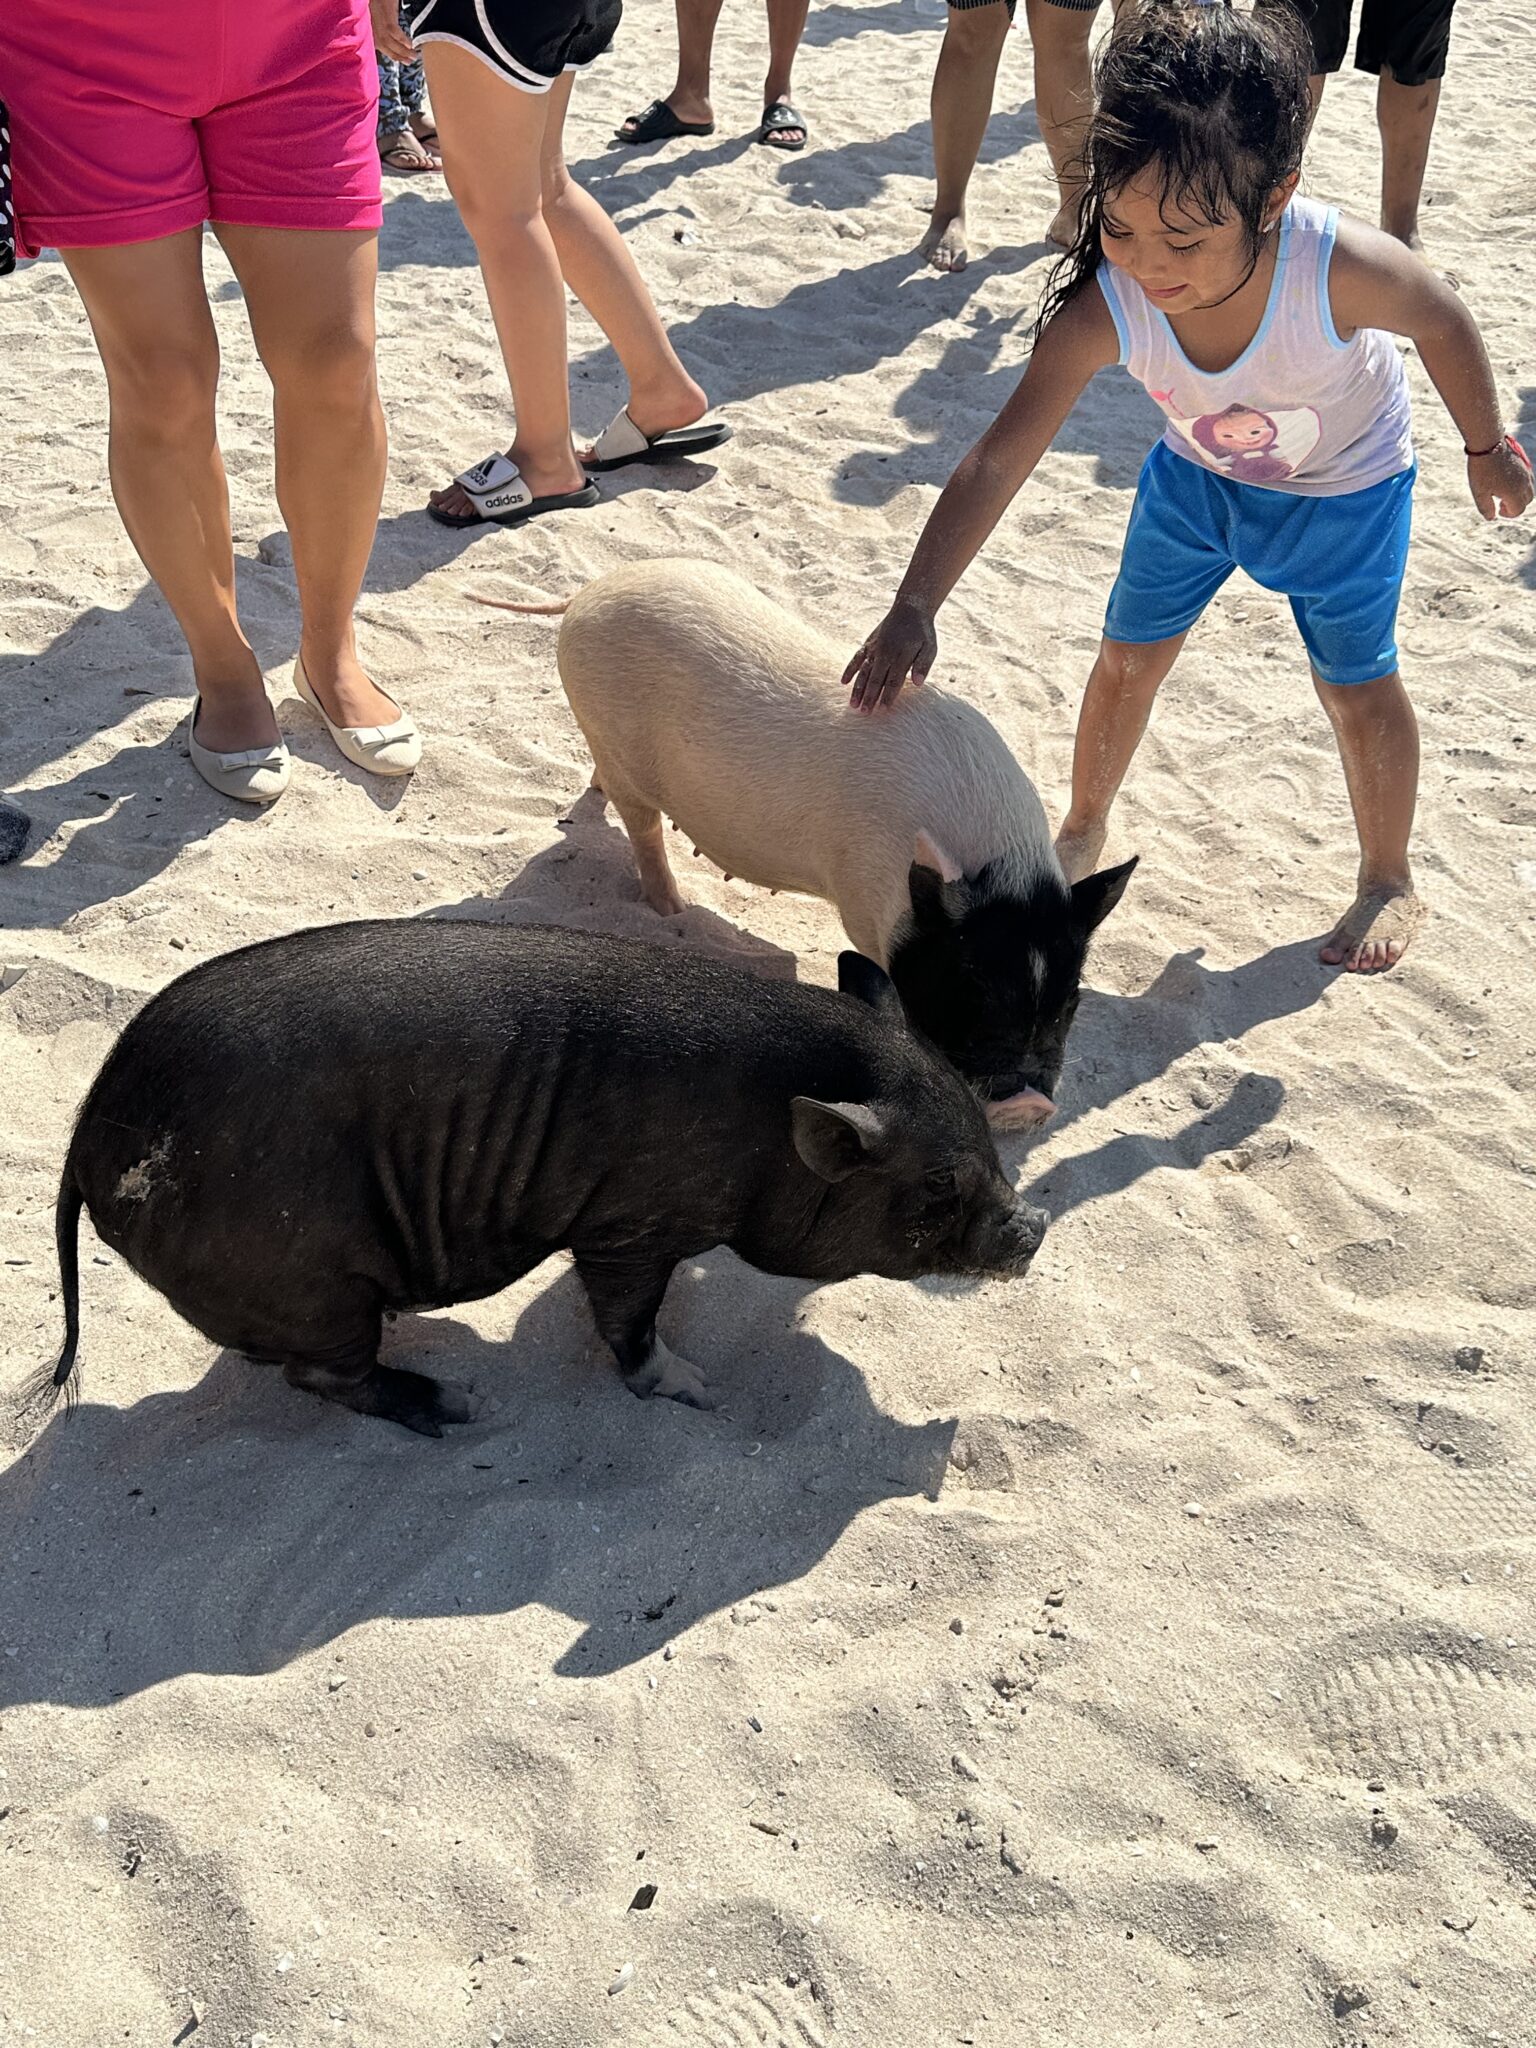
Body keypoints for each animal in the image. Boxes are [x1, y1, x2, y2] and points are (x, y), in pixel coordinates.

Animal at [24, 920, 1047, 1437]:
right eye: (941, 1187)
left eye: (981, 1134)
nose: (1032, 1226)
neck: (765, 1130)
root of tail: (89, 1137)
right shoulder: (630, 1222)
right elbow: (629, 1324)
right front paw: (700, 1390)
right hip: (303, 1278)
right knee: (323, 1373)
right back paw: (461, 1407)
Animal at [478, 559, 1135, 1130]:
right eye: (970, 980)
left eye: (1069, 995)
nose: (1029, 1105)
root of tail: (587, 593)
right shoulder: (864, 907)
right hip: (614, 741)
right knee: (642, 828)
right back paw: (673, 909)